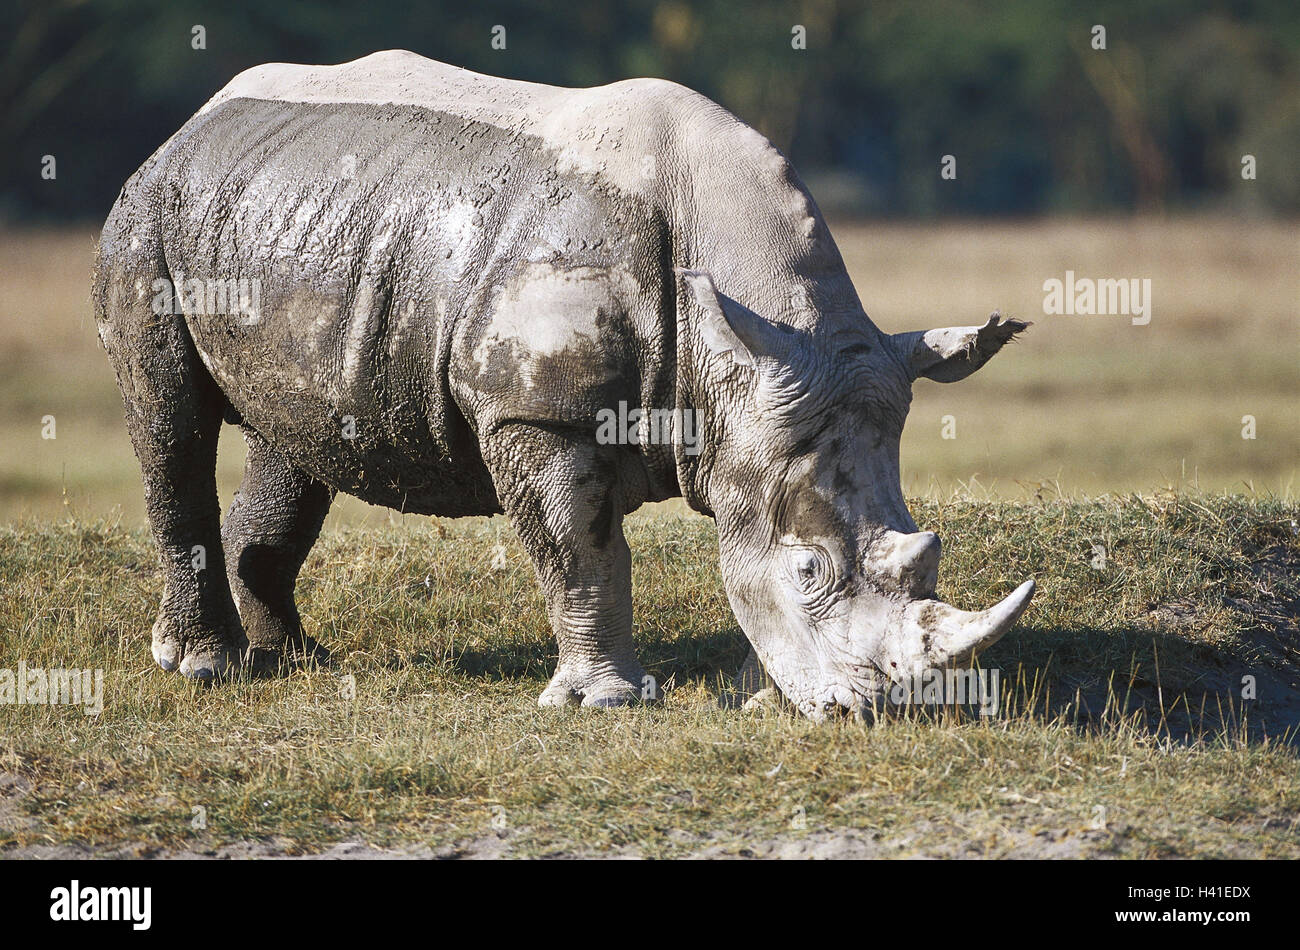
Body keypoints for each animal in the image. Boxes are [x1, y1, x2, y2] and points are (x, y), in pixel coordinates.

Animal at [94, 51, 1034, 720]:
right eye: (809, 571)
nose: (874, 712)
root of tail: (192, 124)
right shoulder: (537, 413)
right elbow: (580, 548)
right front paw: (603, 703)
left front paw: (756, 695)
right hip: (148, 215)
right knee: (172, 423)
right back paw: (206, 668)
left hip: (293, 226)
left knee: (293, 434)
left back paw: (294, 663)